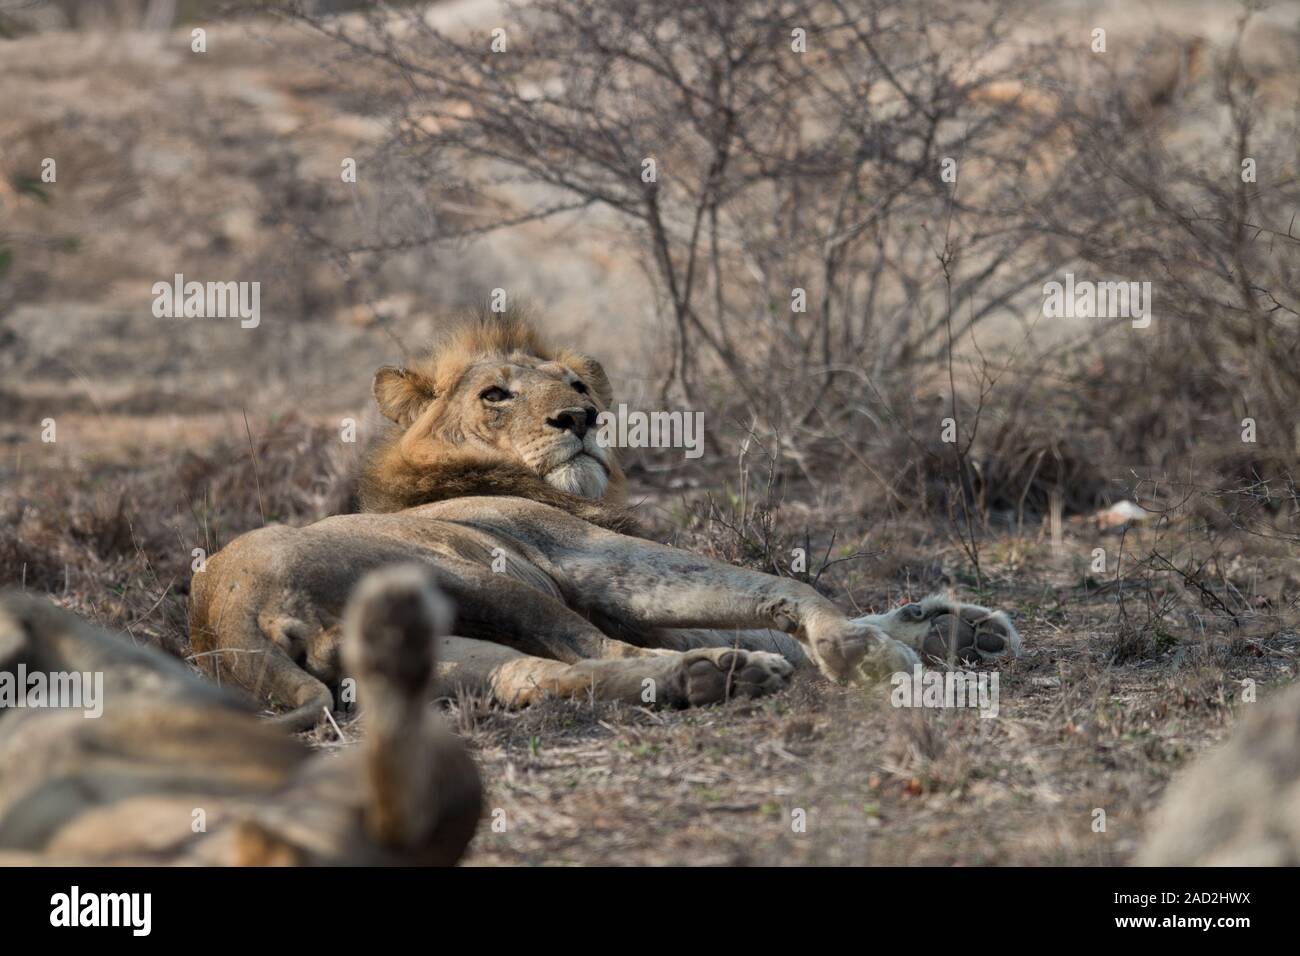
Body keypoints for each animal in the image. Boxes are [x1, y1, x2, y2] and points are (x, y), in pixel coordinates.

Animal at [189, 308, 1022, 730]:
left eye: (578, 383)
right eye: (496, 393)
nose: (580, 417)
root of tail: (226, 623)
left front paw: (953, 626)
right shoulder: (592, 555)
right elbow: (776, 589)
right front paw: (869, 649)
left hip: (431, 652)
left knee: (534, 676)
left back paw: (705, 678)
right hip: (483, 575)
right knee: (597, 649)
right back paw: (720, 675)